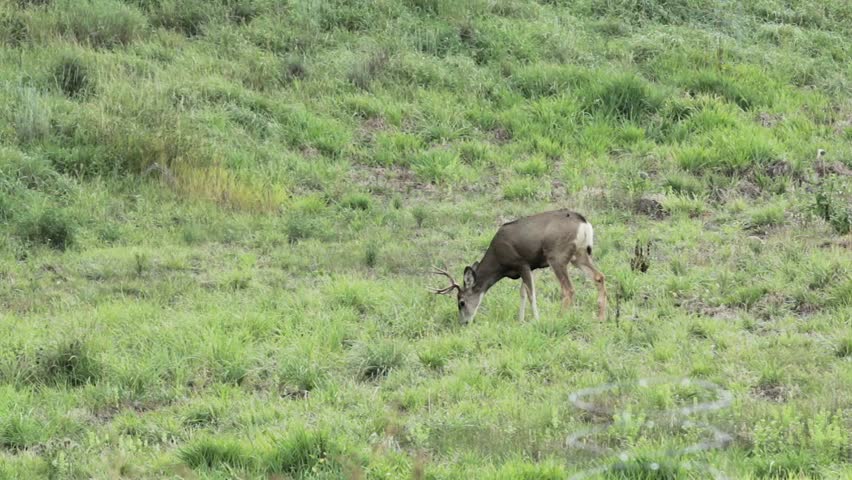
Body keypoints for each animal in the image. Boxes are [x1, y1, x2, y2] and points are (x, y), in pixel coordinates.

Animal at [430, 209, 607, 324]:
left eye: (461, 302)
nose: (463, 323)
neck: (499, 261)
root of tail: (583, 222)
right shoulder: (530, 267)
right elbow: (522, 293)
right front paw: (520, 321)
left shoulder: (521, 263)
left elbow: (530, 294)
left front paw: (536, 320)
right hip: (580, 254)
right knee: (599, 276)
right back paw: (600, 318)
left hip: (557, 255)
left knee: (568, 289)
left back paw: (560, 317)